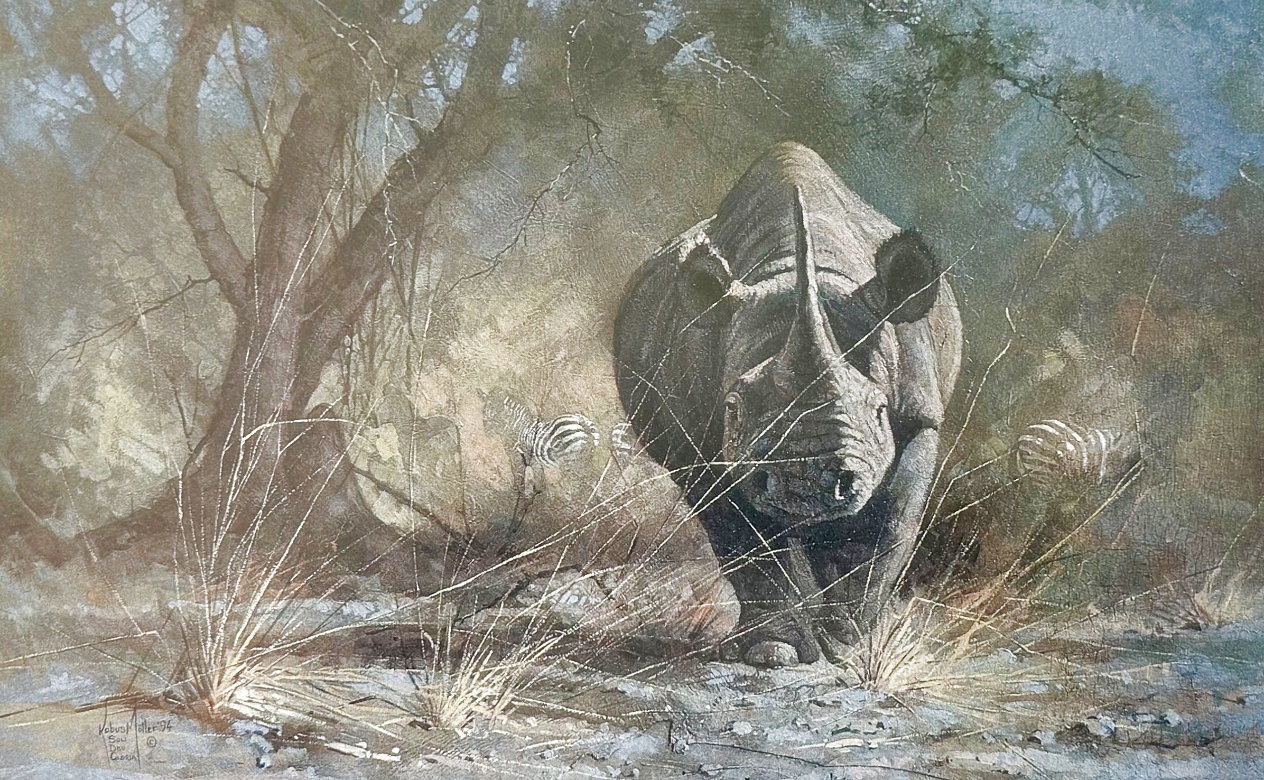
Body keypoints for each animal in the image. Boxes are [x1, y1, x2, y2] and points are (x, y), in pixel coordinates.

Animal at [613, 142, 962, 666]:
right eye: (733, 408)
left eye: (880, 411)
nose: (805, 487)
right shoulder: (700, 442)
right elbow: (744, 539)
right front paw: (774, 652)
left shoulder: (920, 418)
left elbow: (889, 528)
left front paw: (846, 644)